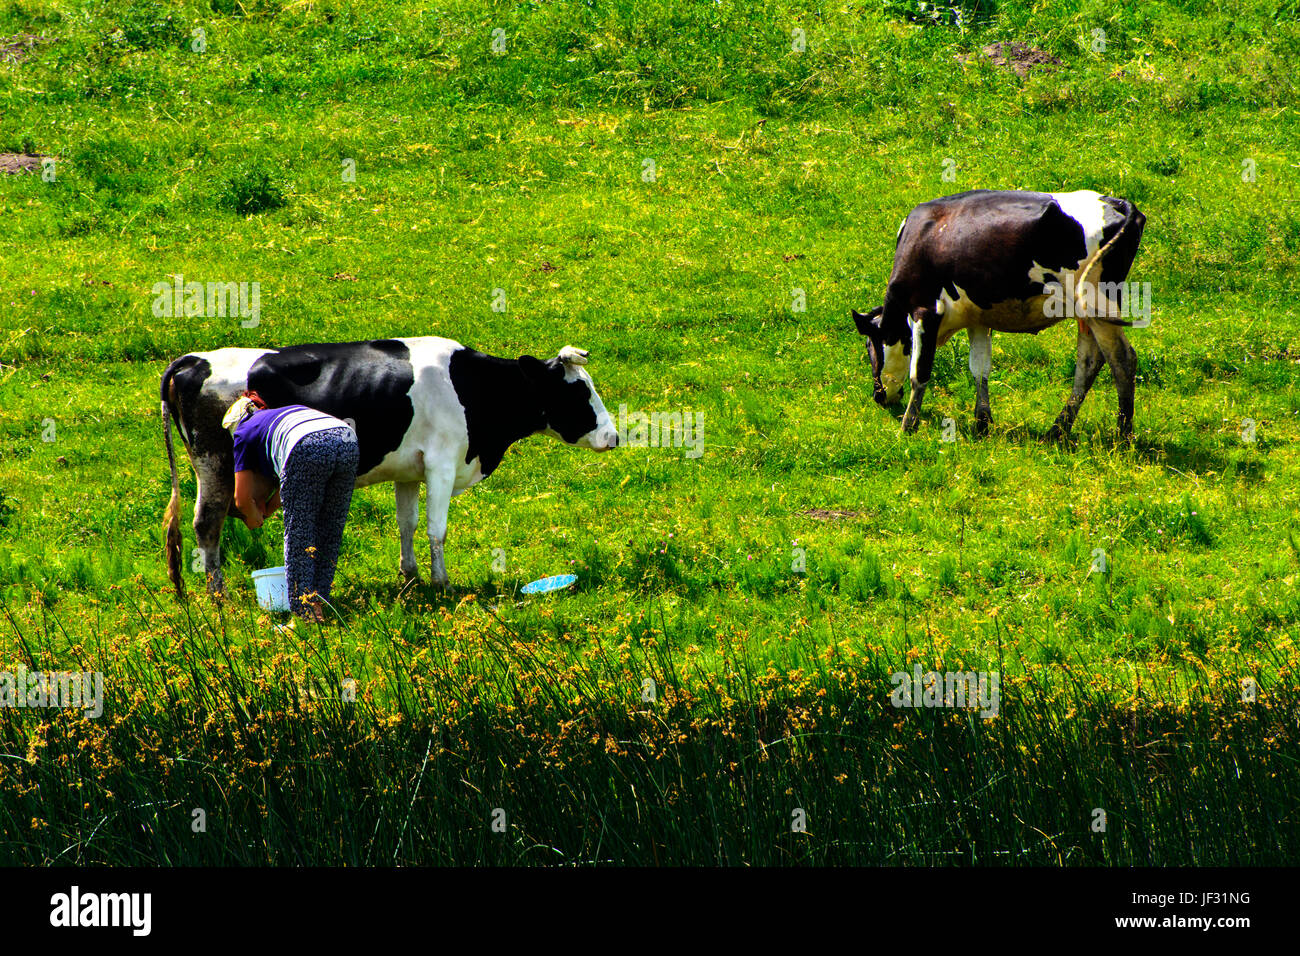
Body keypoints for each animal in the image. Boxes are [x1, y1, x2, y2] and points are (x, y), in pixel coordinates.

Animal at [161, 338, 619, 598]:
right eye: (578, 392)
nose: (613, 436)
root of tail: (193, 360)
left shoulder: (409, 470)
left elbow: (408, 524)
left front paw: (410, 576)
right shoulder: (442, 463)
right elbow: (437, 529)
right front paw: (441, 583)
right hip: (215, 463)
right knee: (207, 524)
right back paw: (218, 594)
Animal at [852, 189, 1146, 439]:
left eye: (870, 347)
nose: (879, 397)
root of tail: (1115, 202)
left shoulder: (926, 311)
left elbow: (919, 373)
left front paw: (908, 426)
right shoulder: (977, 317)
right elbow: (979, 368)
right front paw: (982, 422)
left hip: (1098, 304)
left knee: (1122, 360)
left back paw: (1123, 433)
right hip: (1087, 313)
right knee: (1089, 363)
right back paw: (1058, 430)